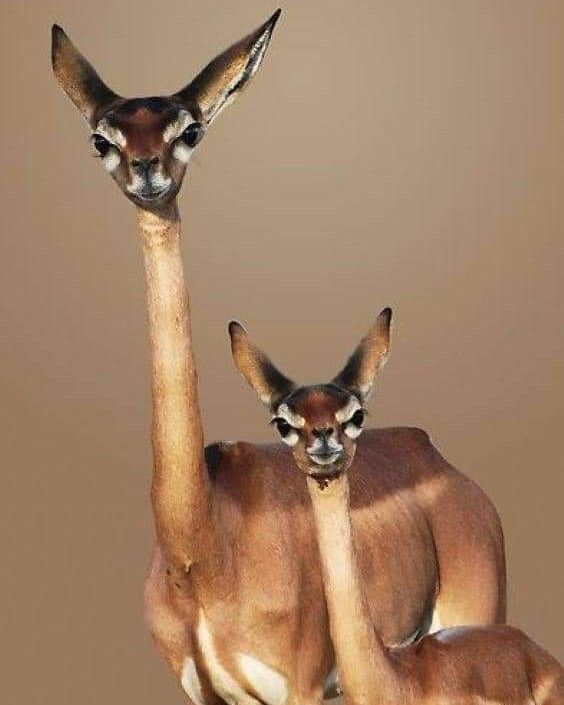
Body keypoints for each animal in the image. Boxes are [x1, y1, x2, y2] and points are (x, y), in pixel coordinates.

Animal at [52, 11, 507, 705]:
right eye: (103, 138)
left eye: (189, 129)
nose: (147, 171)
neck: (203, 547)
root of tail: (443, 462)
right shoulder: (201, 693)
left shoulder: (301, 687)